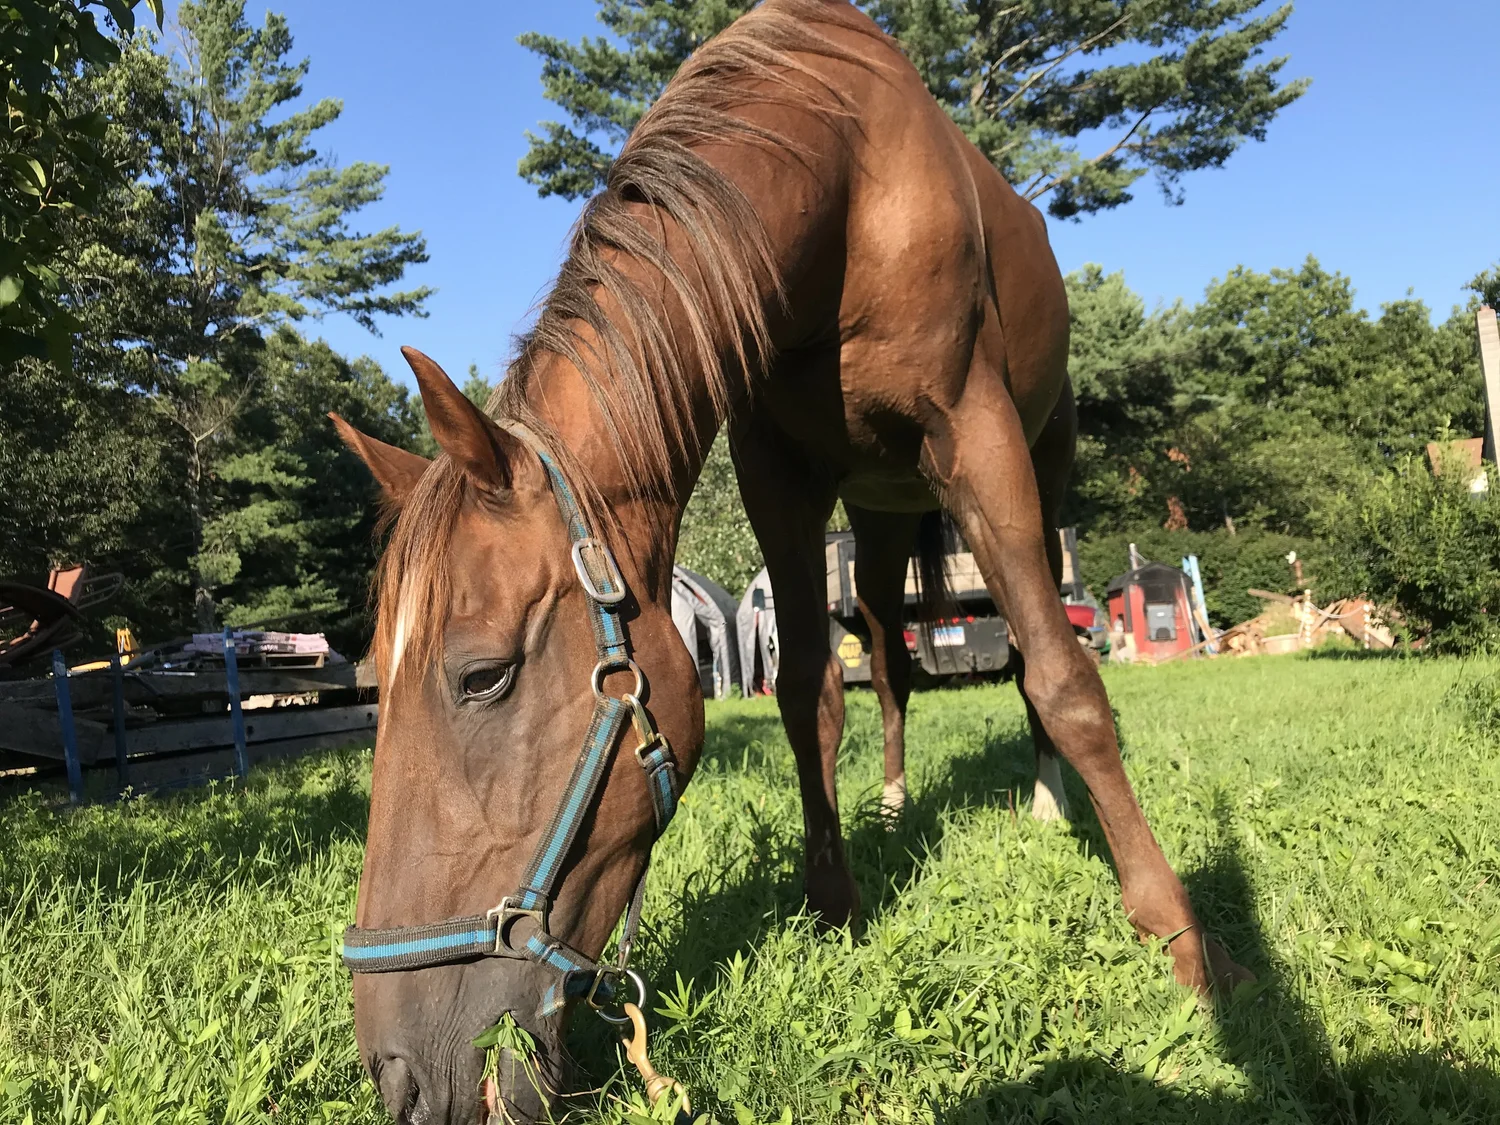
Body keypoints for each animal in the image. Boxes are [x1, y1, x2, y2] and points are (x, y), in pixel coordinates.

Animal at [330, 2, 1250, 1119]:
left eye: (481, 675)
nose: (401, 1074)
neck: (842, 176)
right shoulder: (779, 472)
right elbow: (810, 692)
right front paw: (834, 903)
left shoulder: (976, 429)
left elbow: (1067, 678)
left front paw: (1184, 945)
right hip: (884, 518)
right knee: (891, 664)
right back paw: (894, 800)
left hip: (1040, 464)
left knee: (1045, 644)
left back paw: (1045, 799)